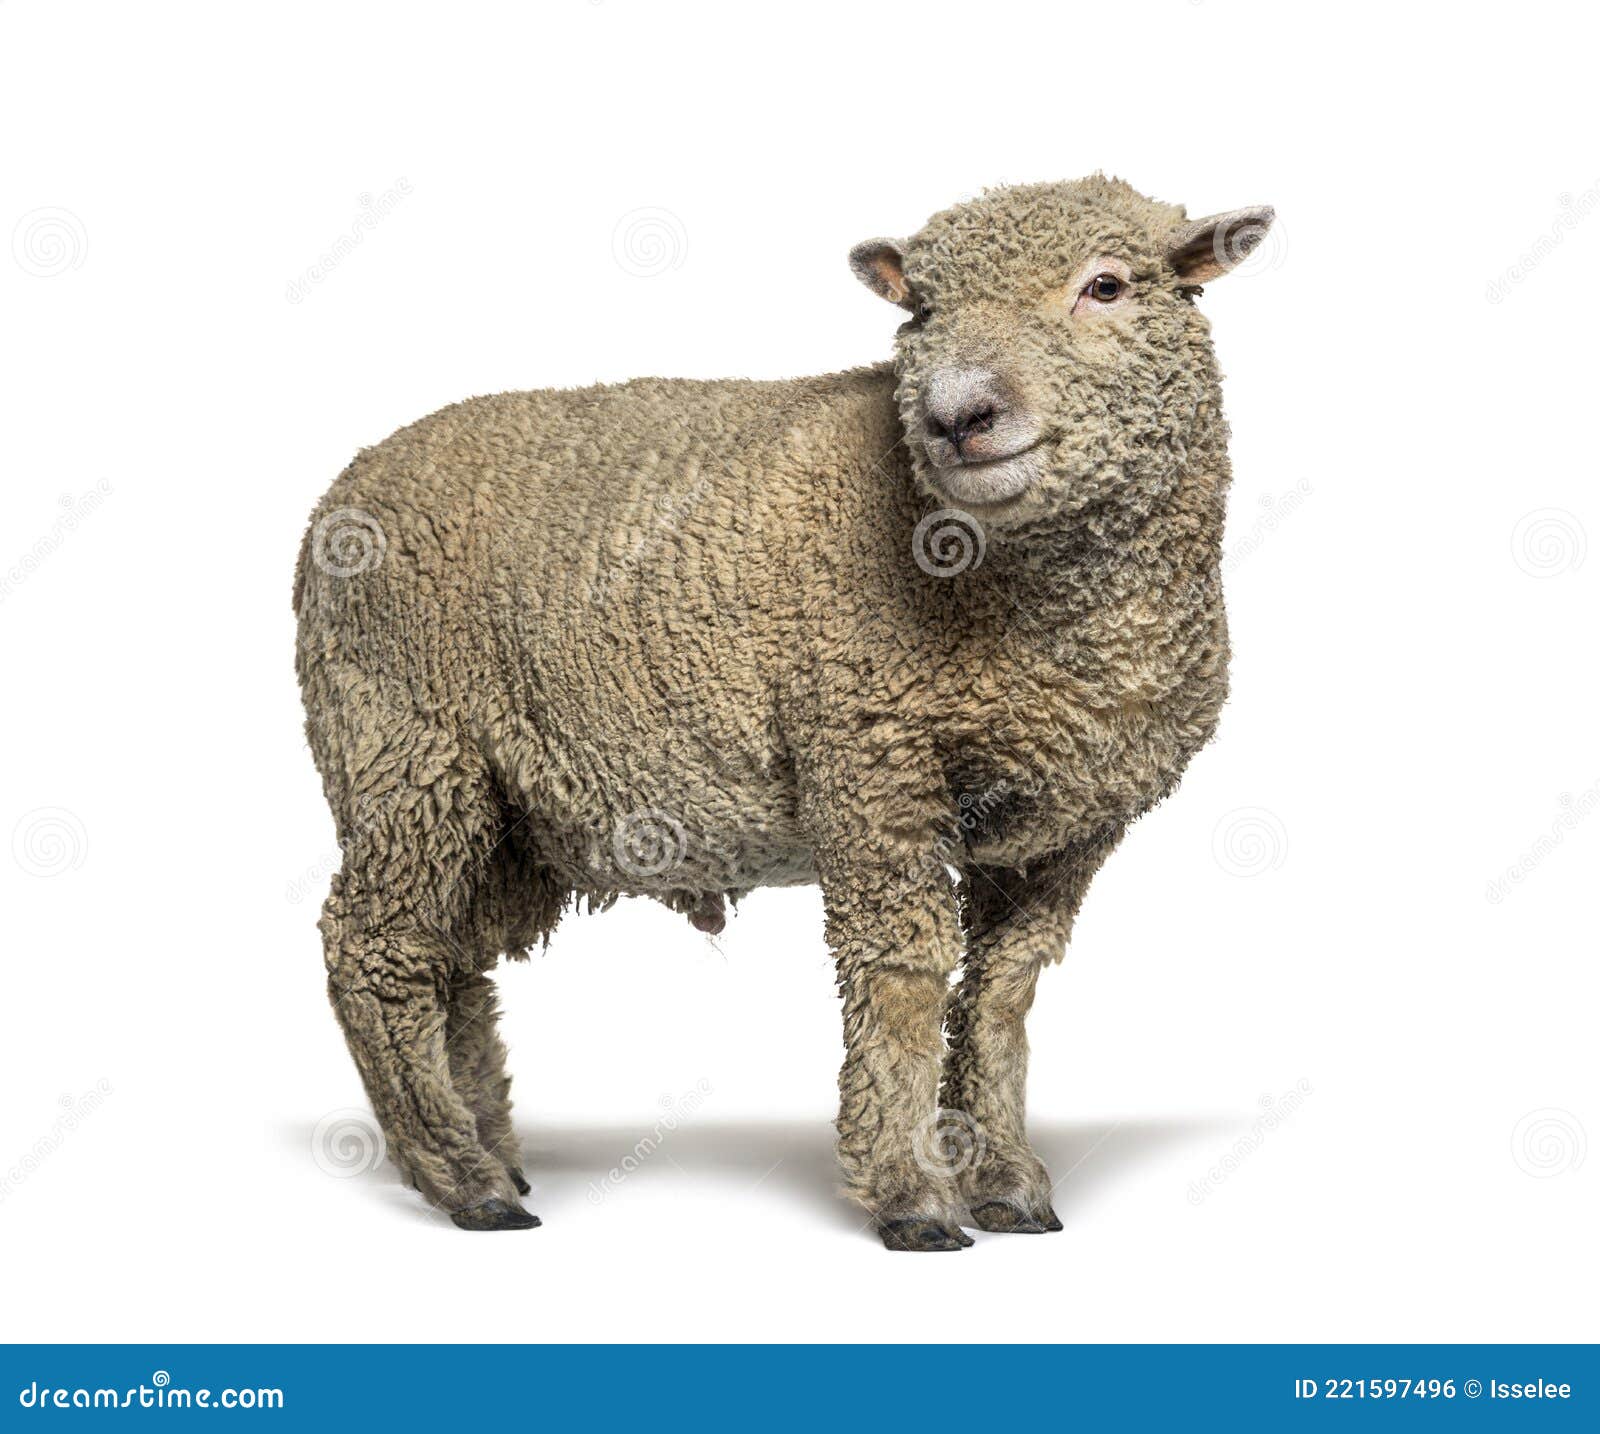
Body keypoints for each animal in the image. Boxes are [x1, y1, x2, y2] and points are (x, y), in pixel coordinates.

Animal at [293, 175, 1274, 1249]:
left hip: (506, 809)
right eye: (919, 310)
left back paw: (491, 1152)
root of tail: (345, 486)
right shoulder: (869, 760)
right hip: (404, 747)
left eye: (1106, 286)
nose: (956, 415)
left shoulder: (1063, 828)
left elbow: (1003, 989)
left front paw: (1008, 1182)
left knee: (455, 965)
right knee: (376, 948)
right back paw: (460, 1176)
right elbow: (903, 971)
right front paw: (912, 1195)